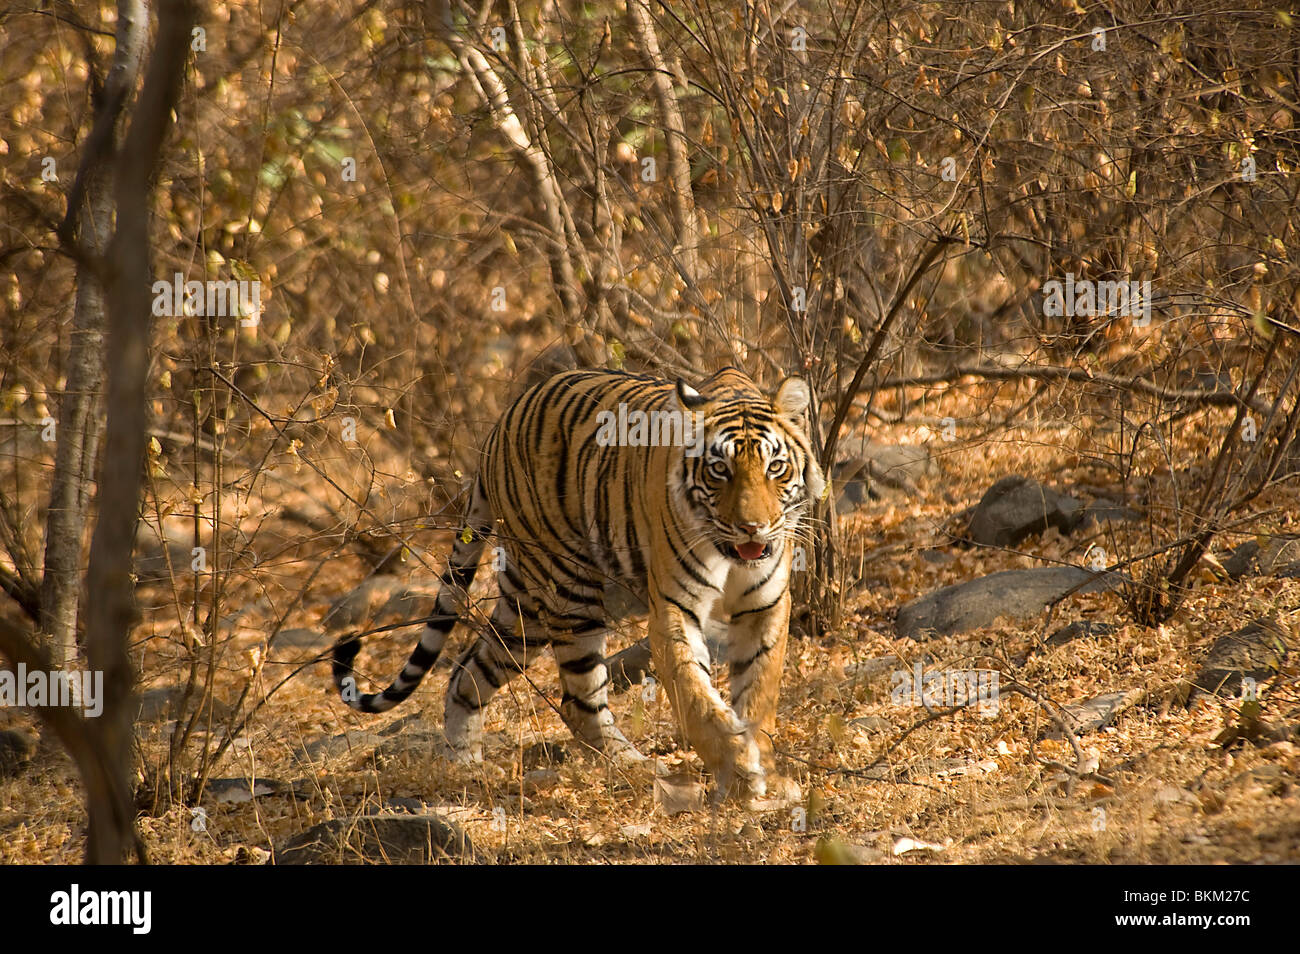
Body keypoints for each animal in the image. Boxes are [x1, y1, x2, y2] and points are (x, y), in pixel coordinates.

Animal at [332, 367, 824, 803]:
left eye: (775, 467)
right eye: (720, 470)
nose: (752, 528)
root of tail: (499, 426)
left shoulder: (765, 607)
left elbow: (758, 693)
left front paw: (764, 769)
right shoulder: (673, 608)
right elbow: (696, 695)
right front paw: (740, 774)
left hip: (523, 607)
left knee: (467, 670)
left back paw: (464, 761)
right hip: (569, 590)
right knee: (577, 698)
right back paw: (634, 765)